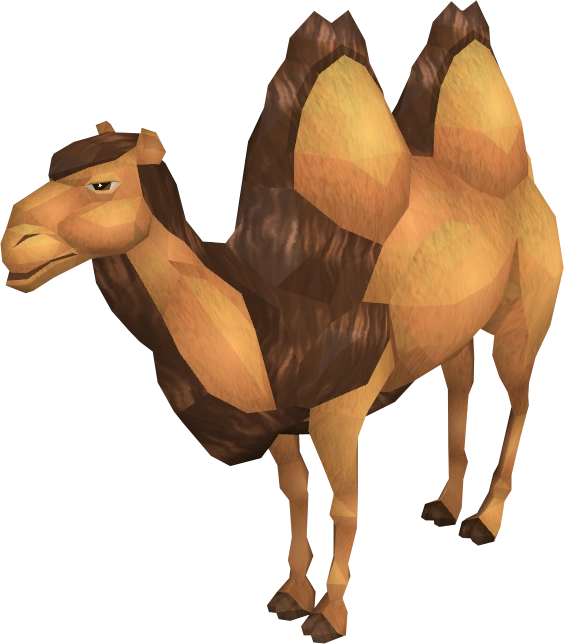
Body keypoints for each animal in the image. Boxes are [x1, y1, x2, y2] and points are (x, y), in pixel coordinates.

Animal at [1, 3, 561, 642]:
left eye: (102, 183)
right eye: (53, 167)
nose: (12, 242)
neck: (268, 315)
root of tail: (524, 184)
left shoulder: (342, 404)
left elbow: (345, 506)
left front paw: (330, 616)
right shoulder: (280, 416)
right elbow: (294, 494)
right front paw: (291, 596)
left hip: (525, 303)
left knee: (518, 398)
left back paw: (484, 520)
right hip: (451, 320)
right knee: (461, 379)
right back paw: (445, 505)